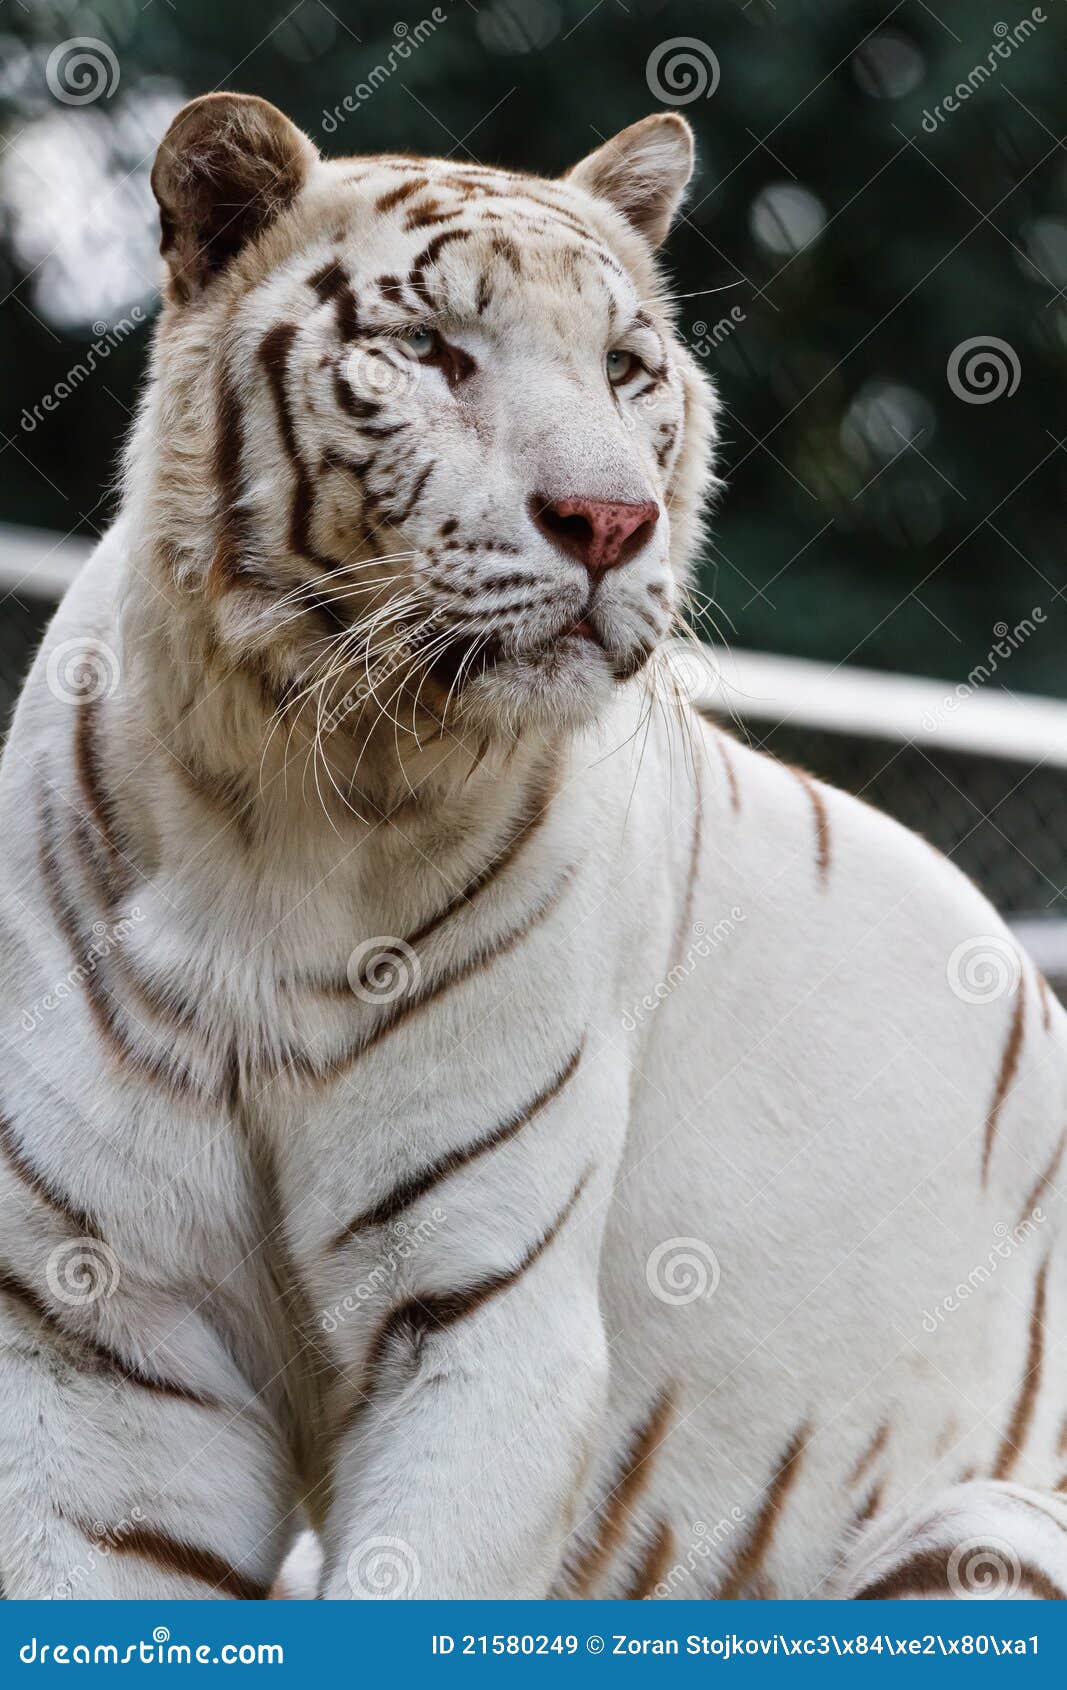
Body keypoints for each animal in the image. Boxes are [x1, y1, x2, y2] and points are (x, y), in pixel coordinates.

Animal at [0, 91, 1064, 1603]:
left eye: (624, 369)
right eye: (430, 352)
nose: (608, 521)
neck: (292, 802)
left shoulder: (484, 1310)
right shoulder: (101, 1329)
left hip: (983, 1527)